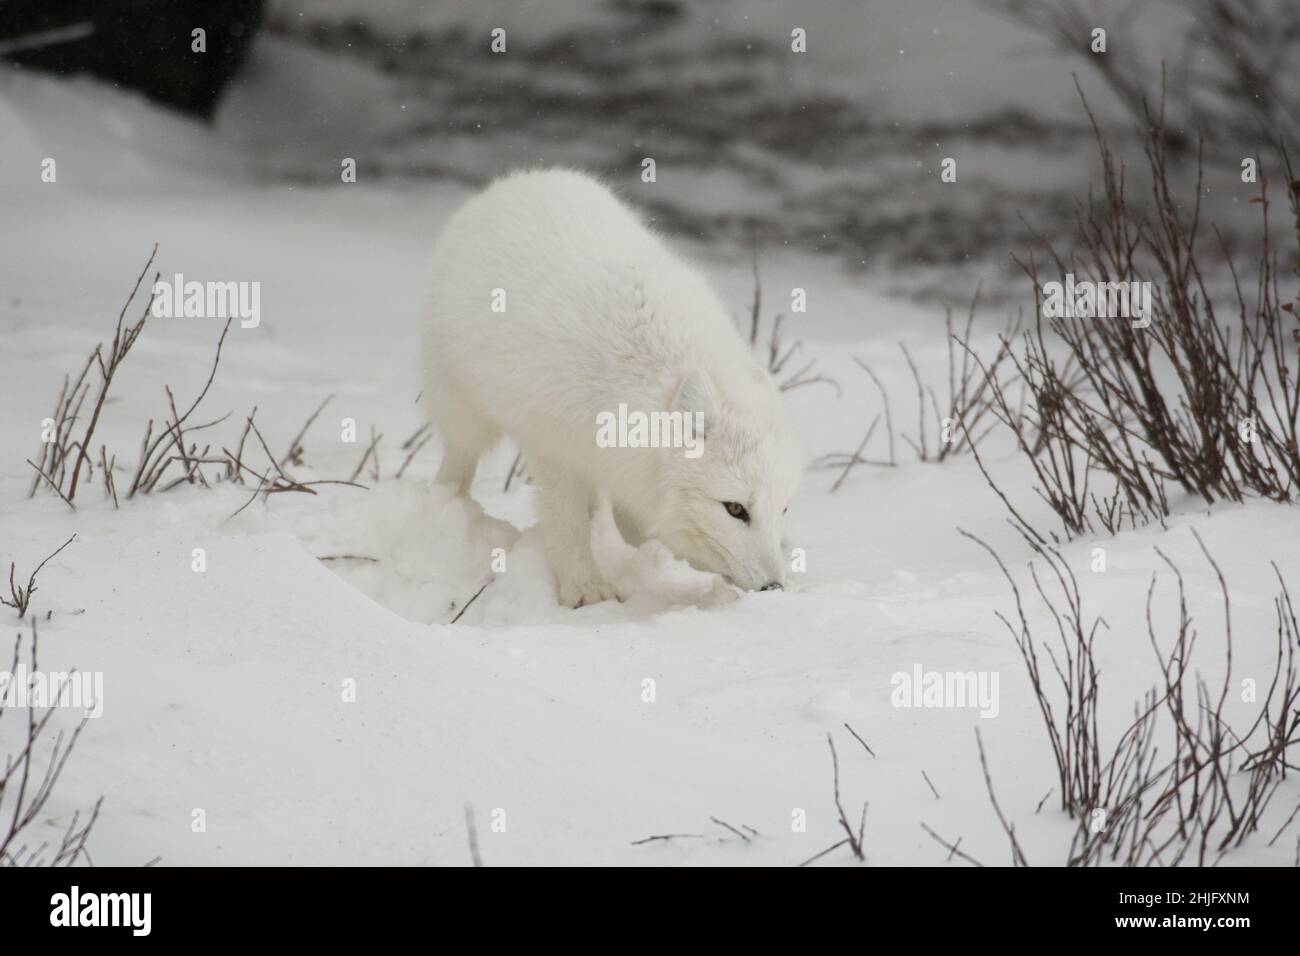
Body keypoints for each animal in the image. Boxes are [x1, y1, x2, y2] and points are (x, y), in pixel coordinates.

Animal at [425, 169, 802, 607]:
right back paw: (445, 508)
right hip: (462, 409)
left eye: (784, 510)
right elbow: (567, 525)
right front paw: (585, 591)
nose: (773, 588)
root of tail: (518, 180)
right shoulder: (554, 446)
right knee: (458, 461)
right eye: (735, 509)